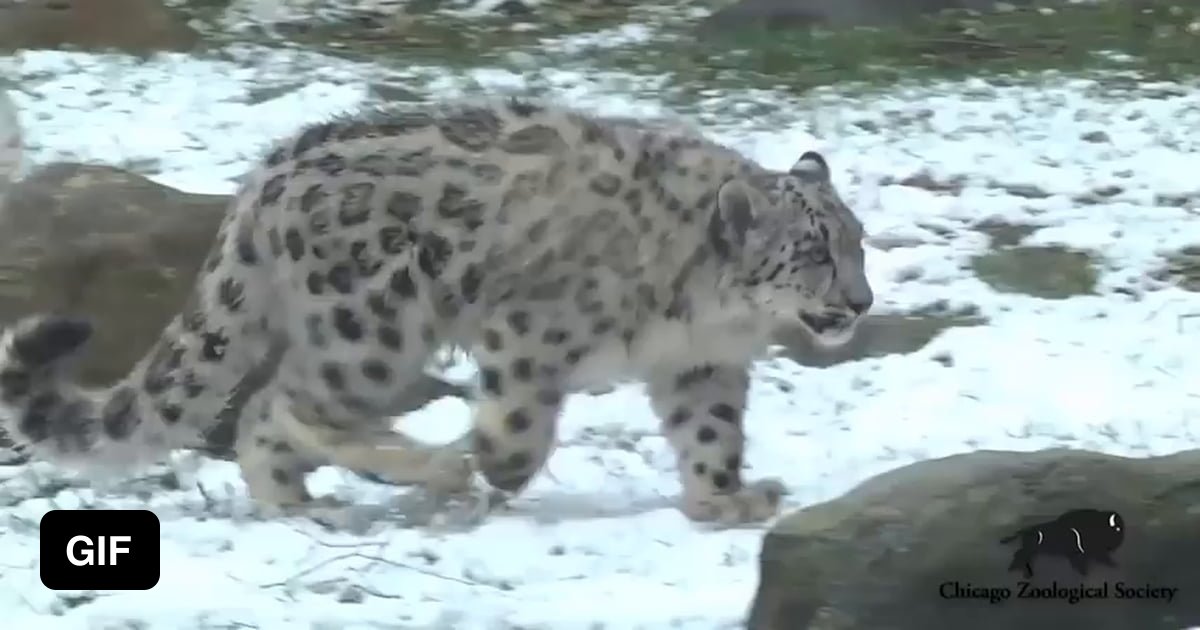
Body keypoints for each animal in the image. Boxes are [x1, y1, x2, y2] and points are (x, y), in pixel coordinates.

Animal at [0, 98, 872, 525]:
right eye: (815, 251)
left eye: (859, 241)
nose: (862, 302)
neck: (710, 311)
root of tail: (267, 174)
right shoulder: (530, 336)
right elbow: (516, 437)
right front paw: (476, 465)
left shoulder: (701, 363)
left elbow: (710, 434)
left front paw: (724, 499)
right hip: (372, 326)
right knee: (287, 401)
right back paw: (424, 466)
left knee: (264, 413)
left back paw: (295, 501)